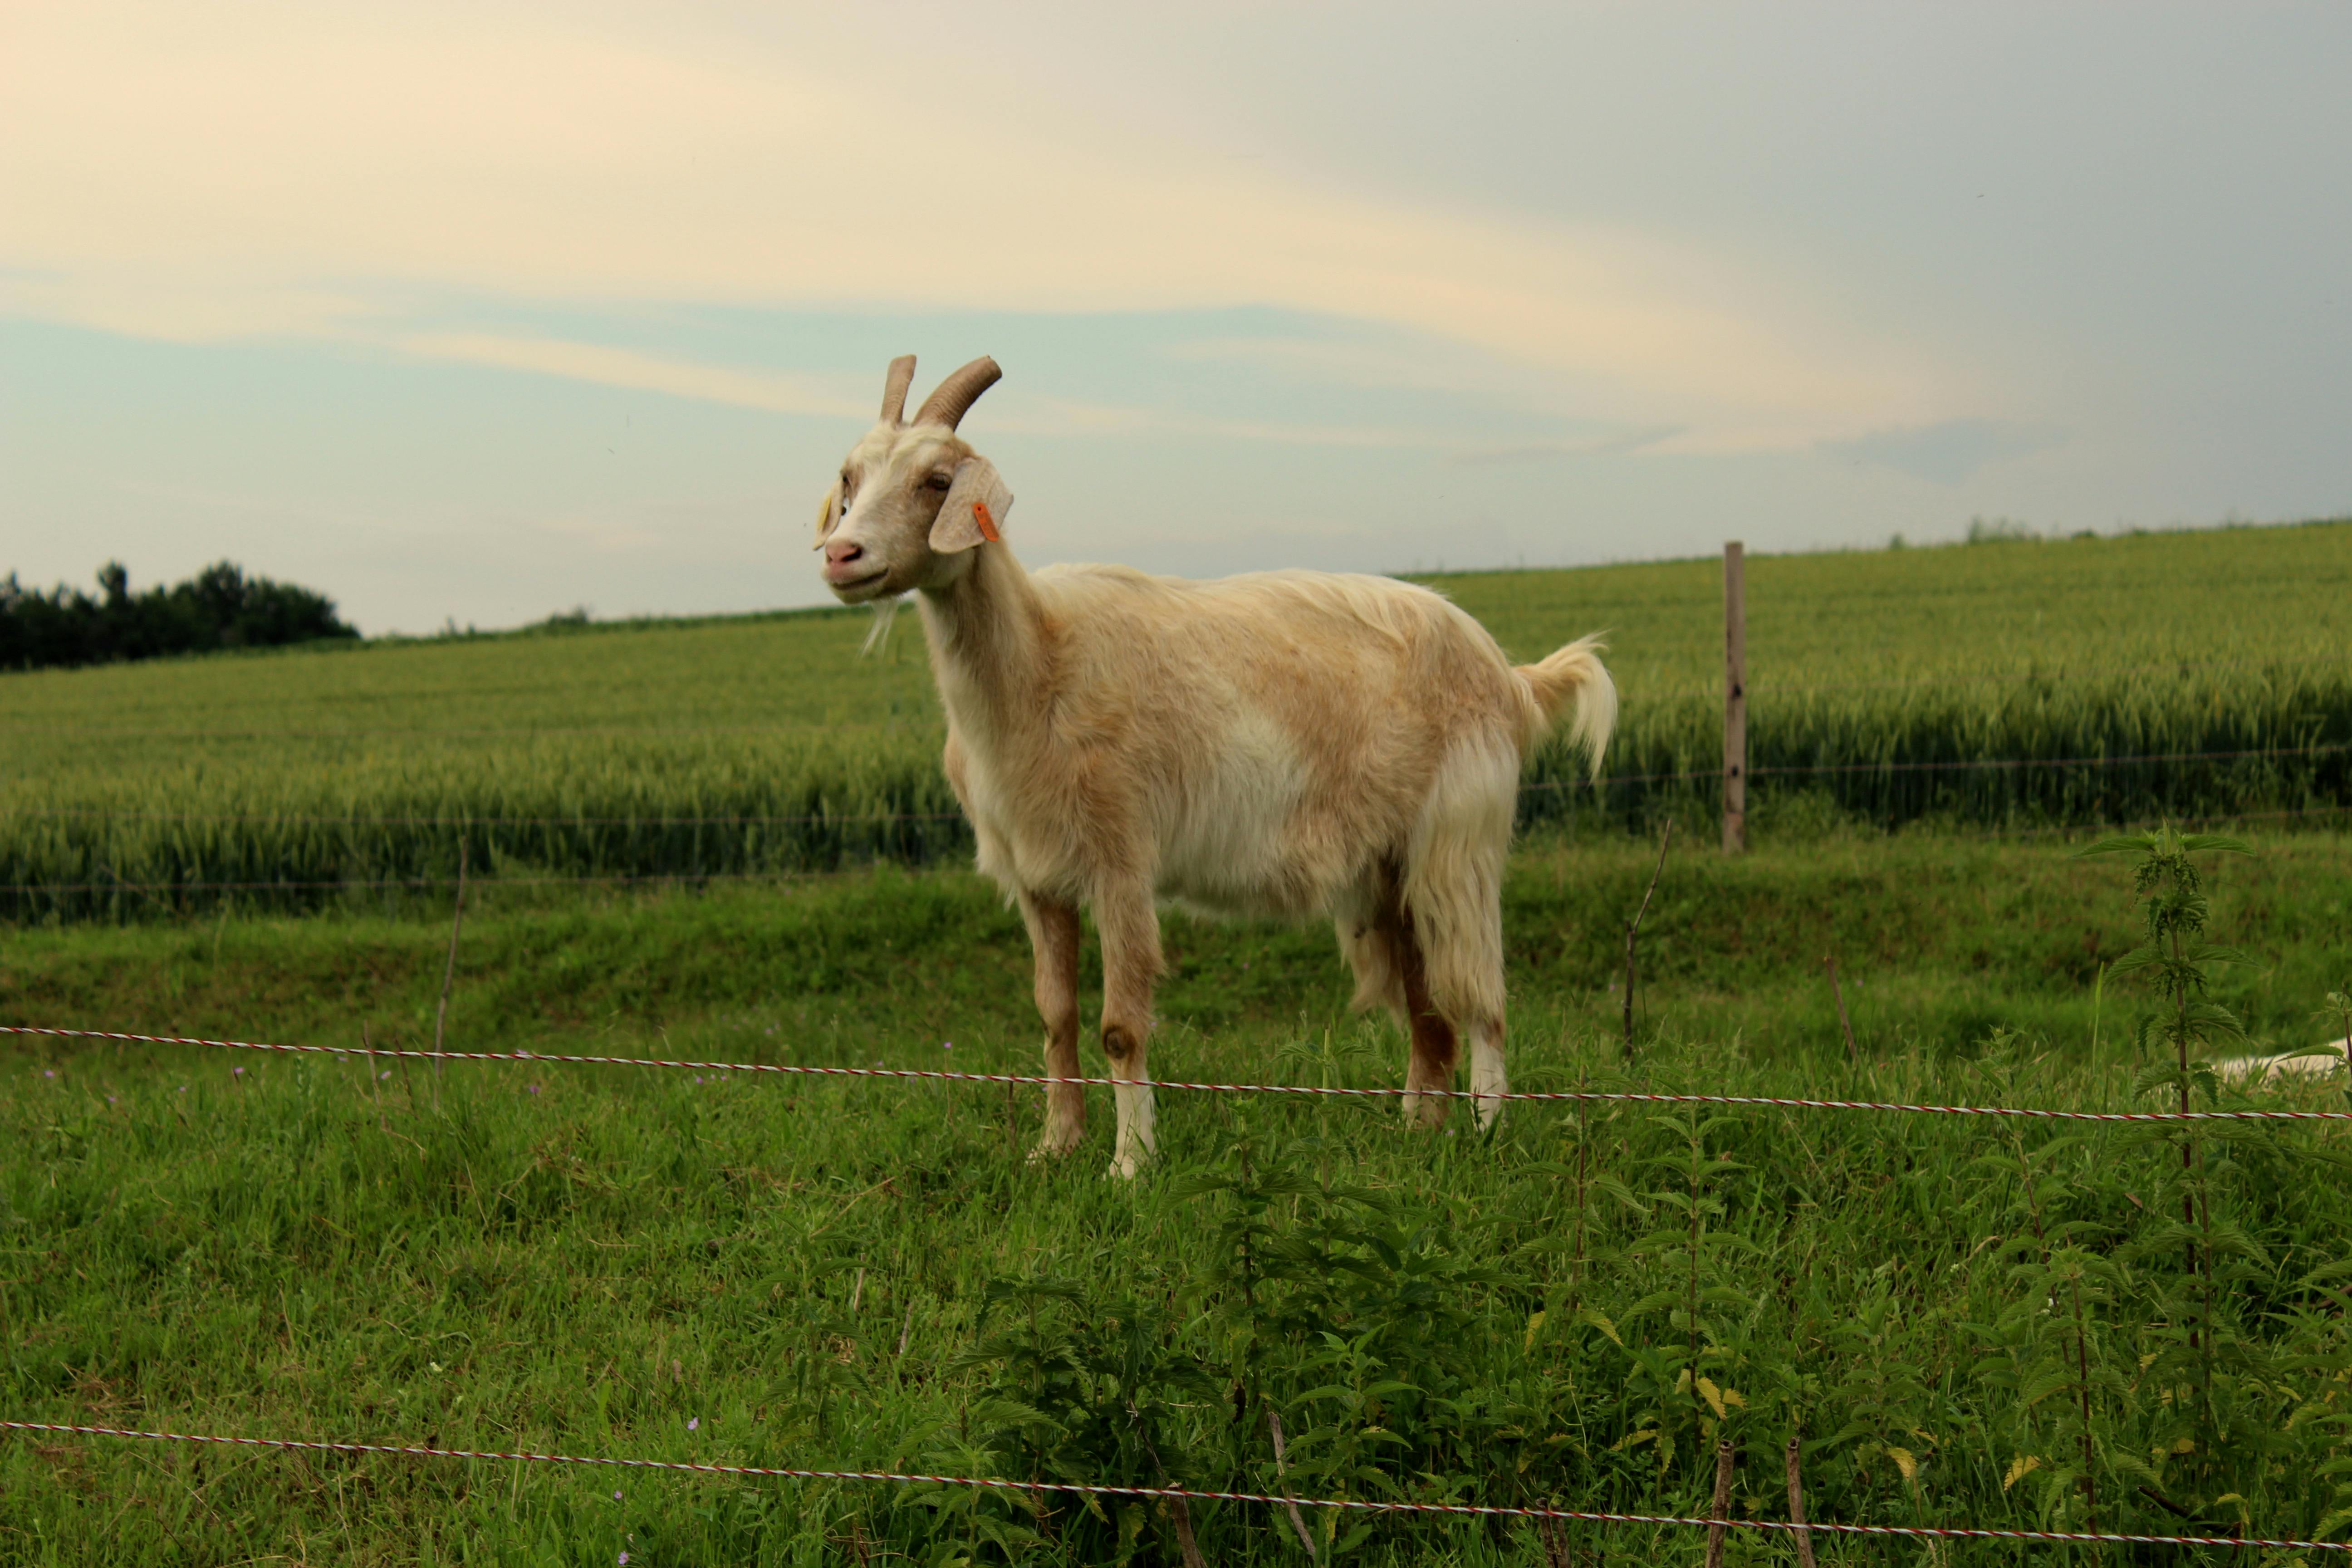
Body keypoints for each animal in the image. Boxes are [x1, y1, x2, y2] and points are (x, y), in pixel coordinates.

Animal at [814, 355, 1616, 1176]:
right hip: (1392, 866)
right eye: (848, 478)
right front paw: (1054, 1147)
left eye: (938, 480)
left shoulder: (1121, 860)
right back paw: (1417, 1131)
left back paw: (1488, 1132)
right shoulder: (1038, 877)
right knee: (1429, 1003)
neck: (1039, 662)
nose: (842, 555)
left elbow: (1118, 1027)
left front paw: (1130, 1164)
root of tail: (1509, 674)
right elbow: (1054, 1014)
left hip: (1460, 838)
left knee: (1481, 994)